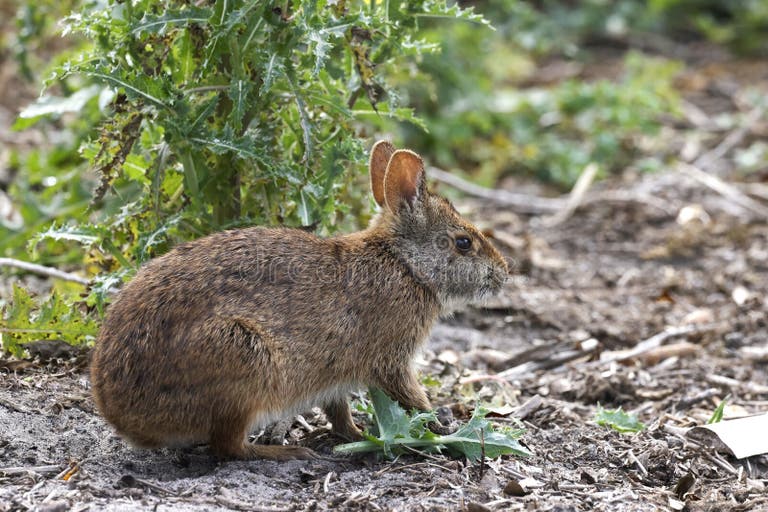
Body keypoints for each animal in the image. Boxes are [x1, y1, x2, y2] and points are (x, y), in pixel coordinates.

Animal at [90, 141, 509, 460]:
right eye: (463, 243)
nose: (504, 273)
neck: (404, 263)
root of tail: (124, 417)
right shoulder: (390, 359)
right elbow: (410, 395)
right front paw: (438, 428)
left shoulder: (335, 377)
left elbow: (339, 411)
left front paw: (357, 435)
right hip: (244, 360)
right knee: (228, 446)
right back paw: (287, 452)